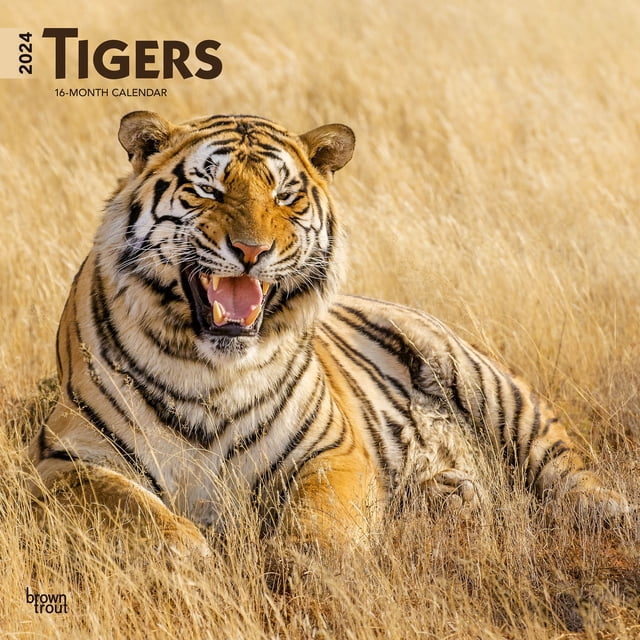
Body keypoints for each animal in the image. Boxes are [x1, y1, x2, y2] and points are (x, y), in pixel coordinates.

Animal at [28, 110, 630, 555]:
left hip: (500, 395)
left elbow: (322, 521)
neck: (212, 368)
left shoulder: (333, 451)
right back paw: (450, 495)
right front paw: (191, 555)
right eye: (209, 192)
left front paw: (311, 569)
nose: (251, 251)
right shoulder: (63, 458)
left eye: (284, 196)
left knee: (574, 480)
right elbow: (131, 510)